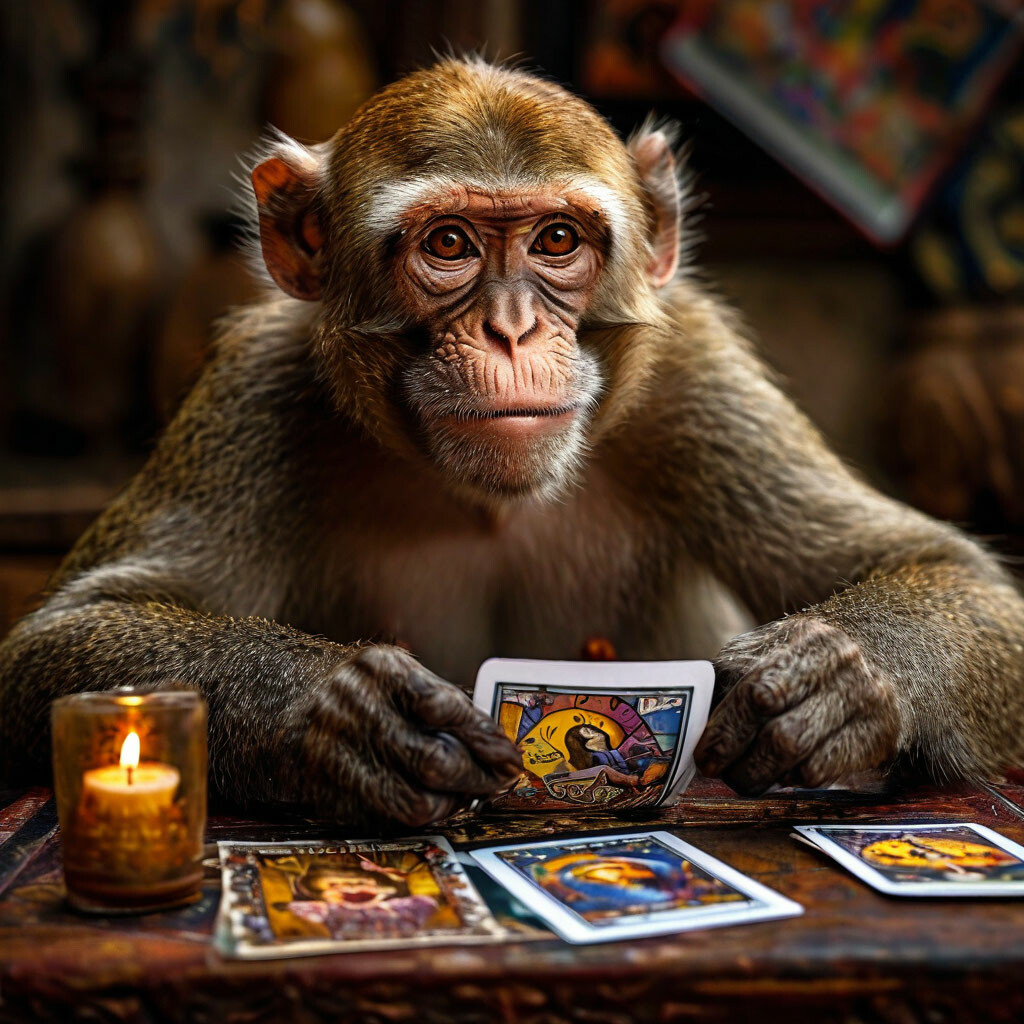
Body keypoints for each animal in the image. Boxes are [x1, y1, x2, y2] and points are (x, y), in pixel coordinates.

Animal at [1, 58, 1023, 828]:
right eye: (449, 245)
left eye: (557, 239)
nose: (511, 329)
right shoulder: (255, 390)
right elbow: (65, 634)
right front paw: (335, 713)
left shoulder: (694, 374)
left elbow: (934, 564)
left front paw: (834, 679)